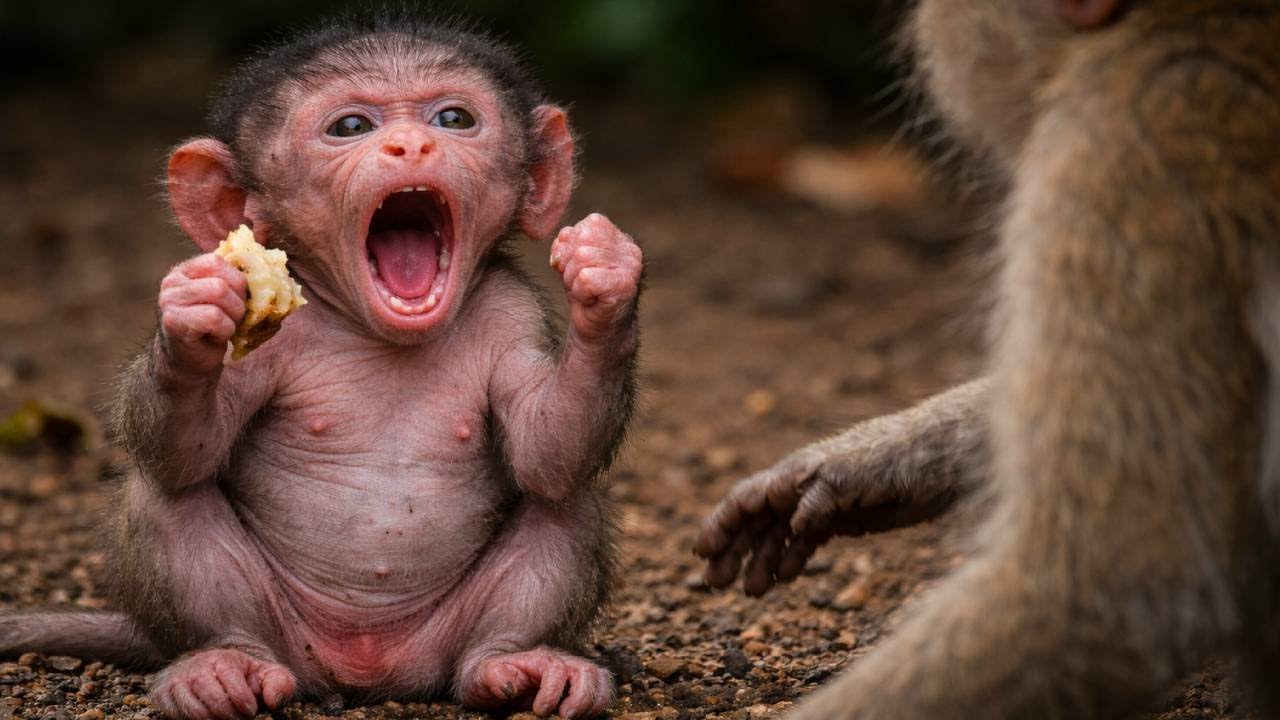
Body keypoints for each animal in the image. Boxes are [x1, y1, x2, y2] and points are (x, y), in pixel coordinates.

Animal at [0, 9, 643, 720]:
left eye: (455, 119)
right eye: (351, 128)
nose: (413, 147)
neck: (371, 329)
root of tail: (365, 669)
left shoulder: (510, 310)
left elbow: (547, 451)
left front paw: (605, 281)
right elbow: (183, 451)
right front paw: (192, 317)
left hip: (442, 642)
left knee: (565, 504)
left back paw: (513, 662)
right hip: (284, 633)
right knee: (166, 496)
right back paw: (222, 665)